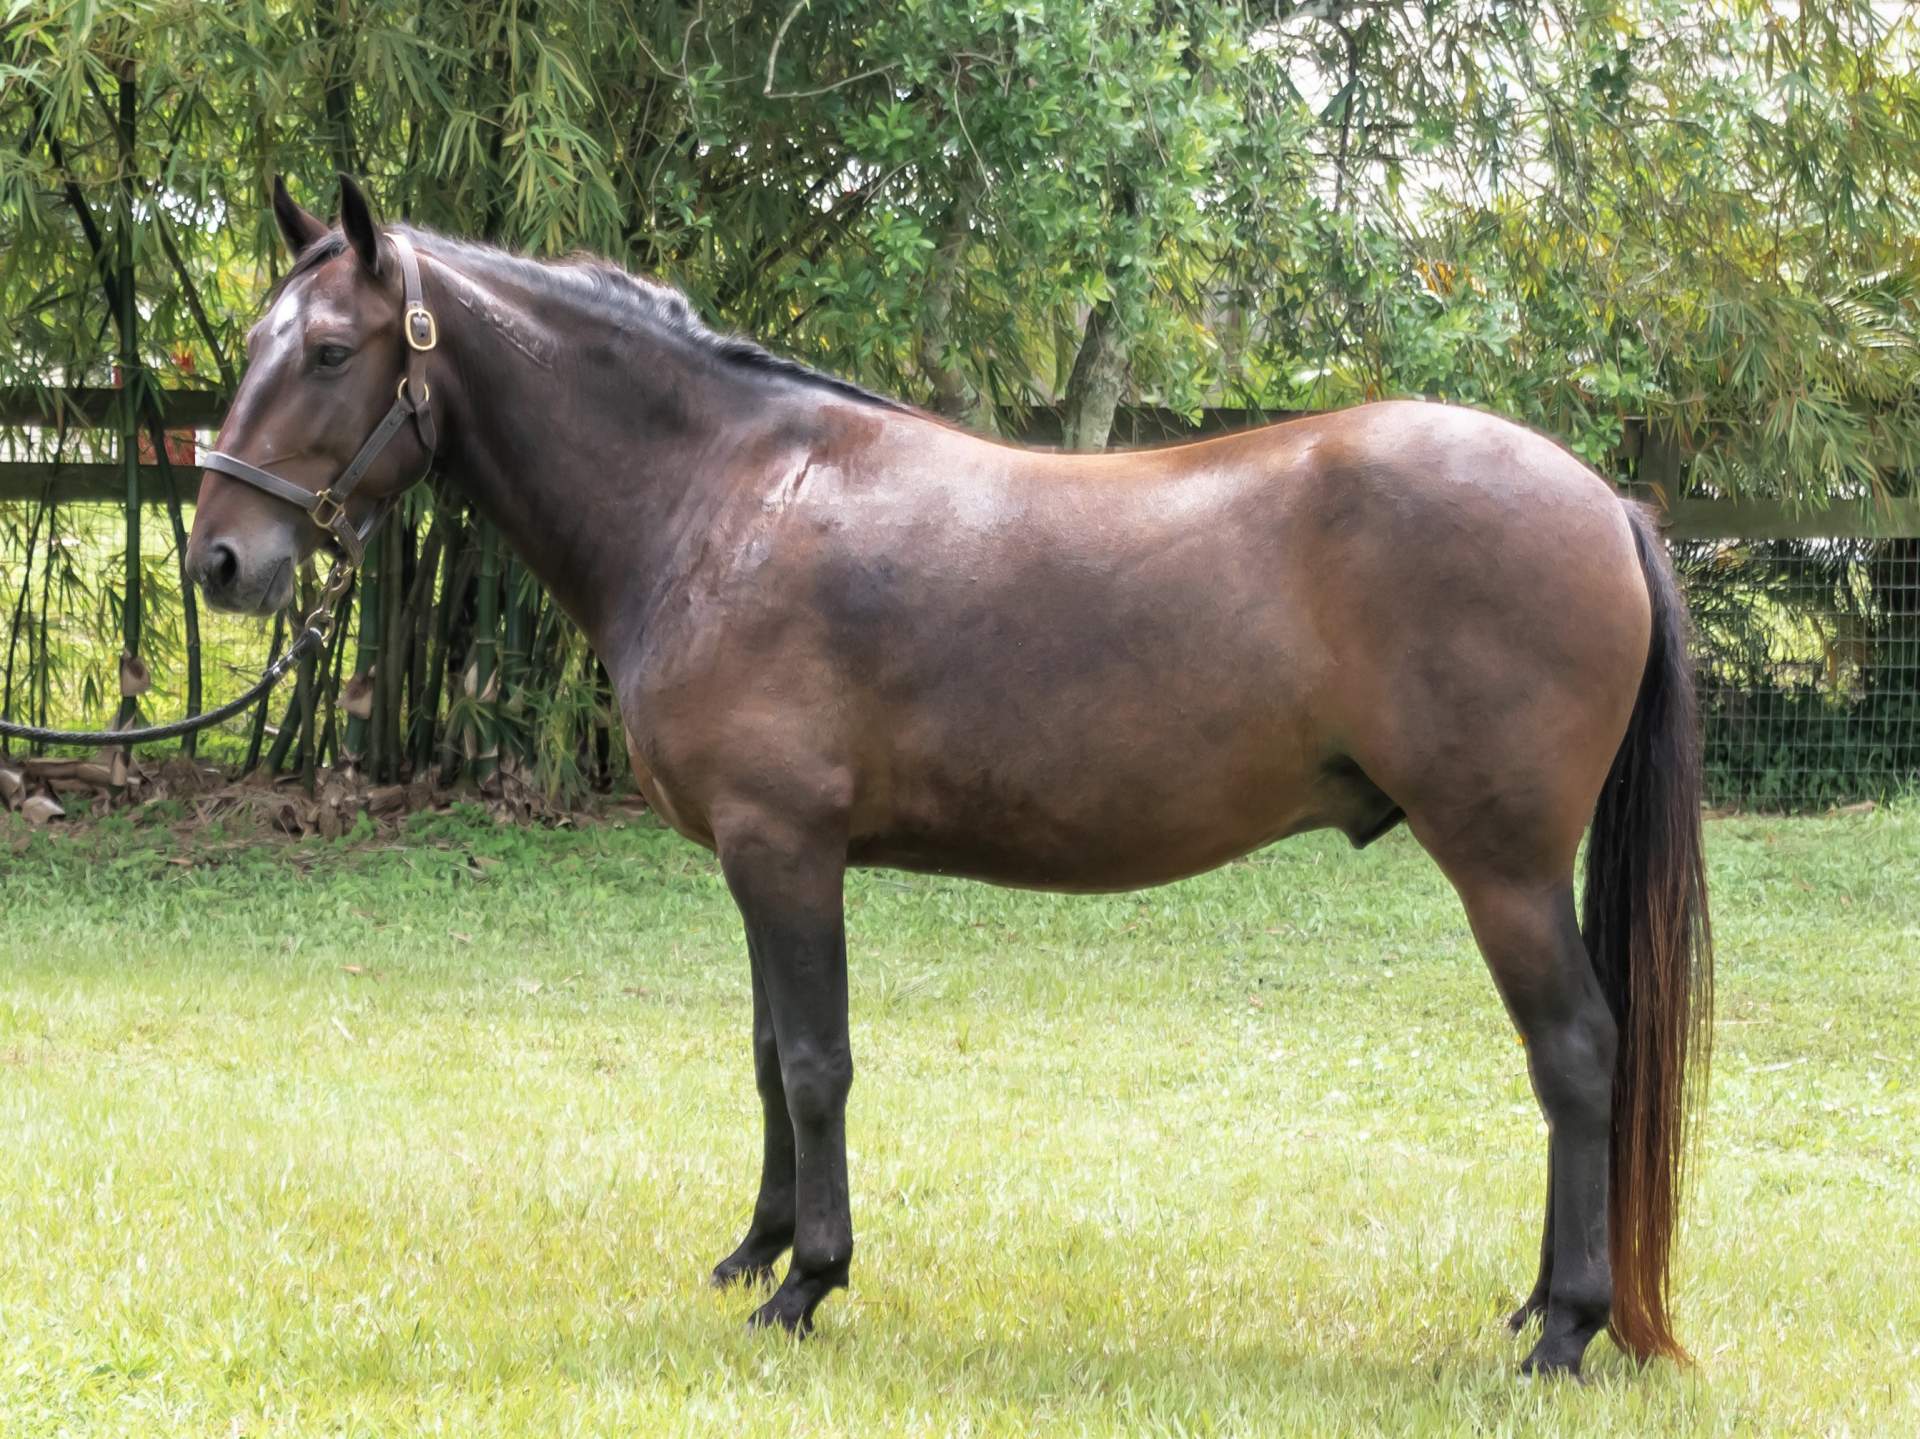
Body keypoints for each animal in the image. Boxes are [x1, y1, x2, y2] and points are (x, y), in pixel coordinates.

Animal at [185, 176, 1711, 1379]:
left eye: (329, 350)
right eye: (255, 341)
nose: (219, 560)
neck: (724, 497)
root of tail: (1603, 500)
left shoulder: (786, 847)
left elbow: (815, 1062)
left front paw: (808, 1282)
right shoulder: (758, 856)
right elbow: (765, 1056)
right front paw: (757, 1249)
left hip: (1503, 862)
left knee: (1577, 1053)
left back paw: (1567, 1327)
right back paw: (1535, 1305)